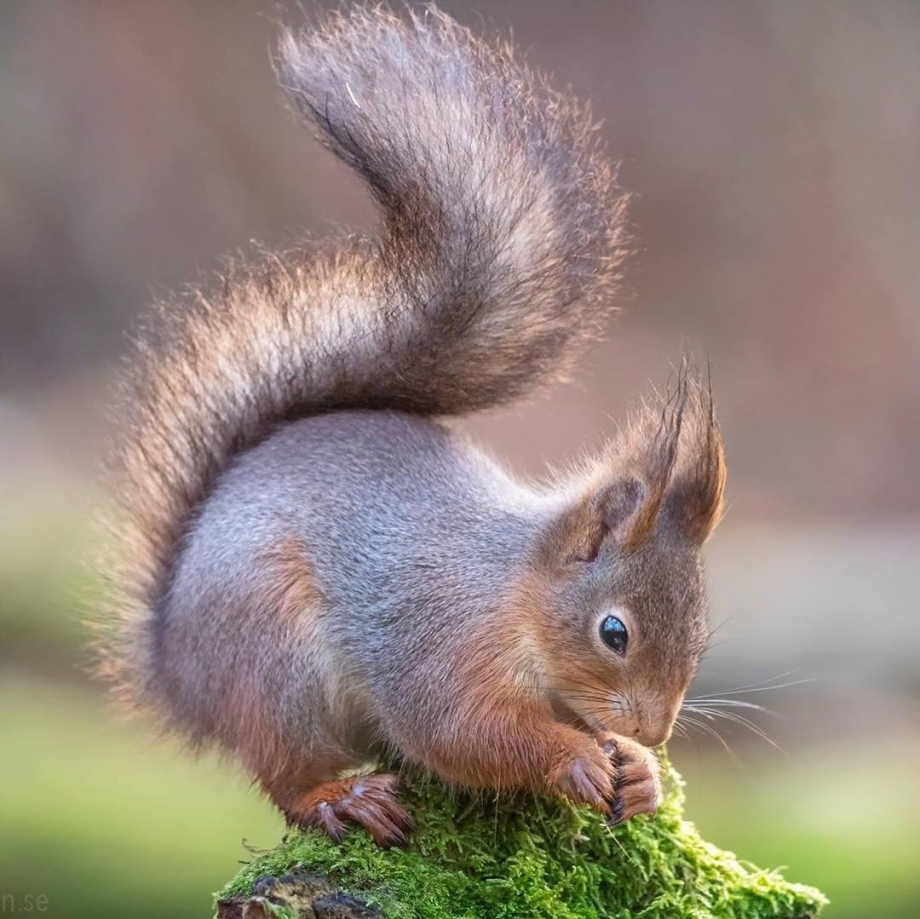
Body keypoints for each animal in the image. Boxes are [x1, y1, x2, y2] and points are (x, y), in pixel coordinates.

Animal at [97, 6, 726, 848]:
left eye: (700, 628)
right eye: (614, 632)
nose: (657, 729)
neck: (512, 592)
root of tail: (177, 668)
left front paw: (641, 771)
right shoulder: (438, 641)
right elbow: (459, 729)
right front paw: (578, 758)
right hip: (270, 661)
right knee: (285, 774)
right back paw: (342, 797)